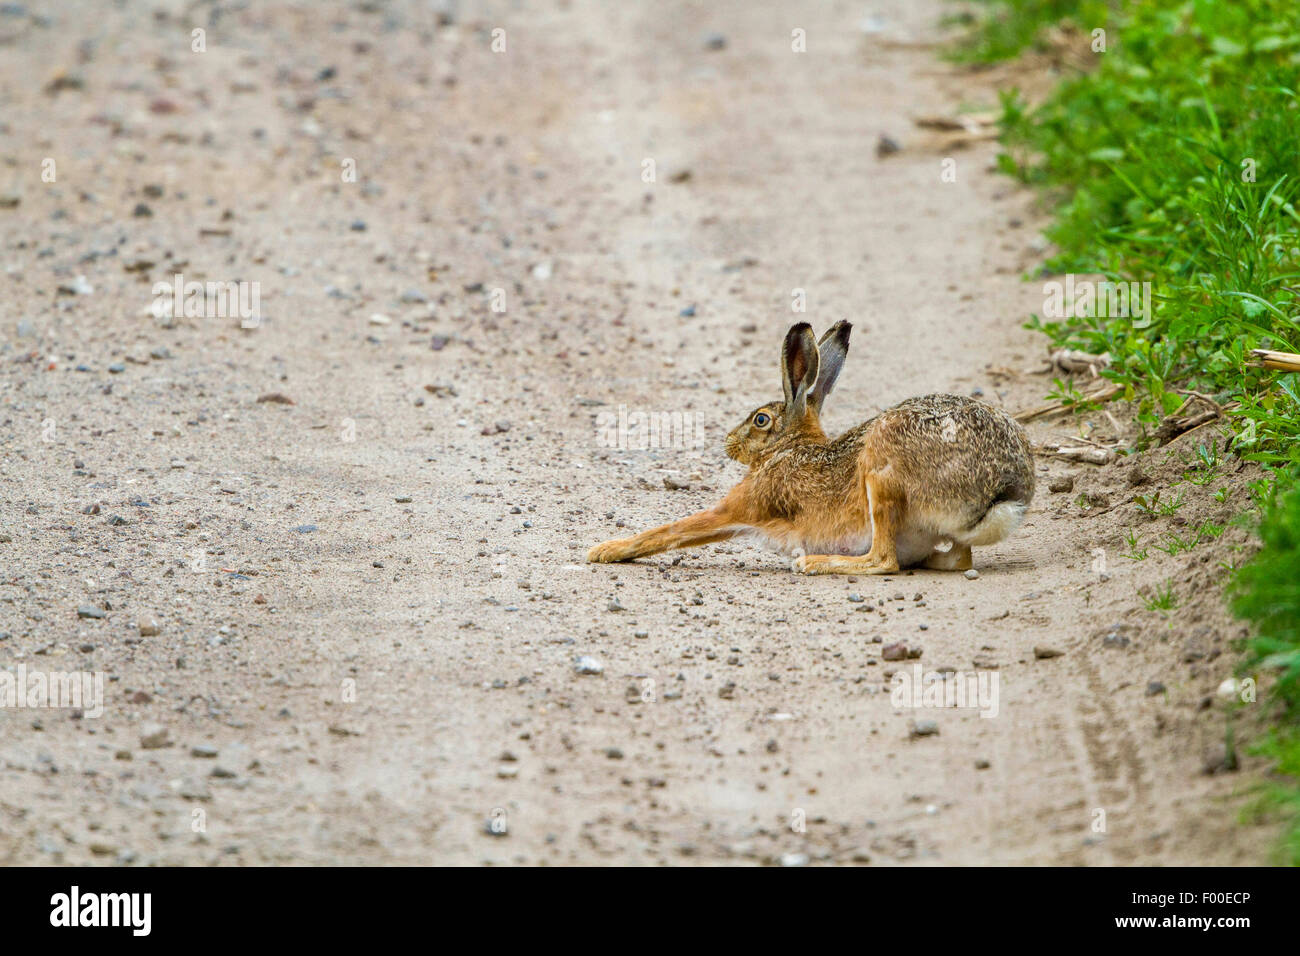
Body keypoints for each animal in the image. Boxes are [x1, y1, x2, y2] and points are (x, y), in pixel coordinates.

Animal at [587, 320, 1034, 574]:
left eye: (760, 420)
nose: (729, 444)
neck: (790, 448)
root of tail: (1004, 491)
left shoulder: (738, 508)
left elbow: (673, 530)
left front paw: (604, 551)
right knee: (957, 559)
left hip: (881, 471)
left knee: (884, 561)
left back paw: (814, 563)